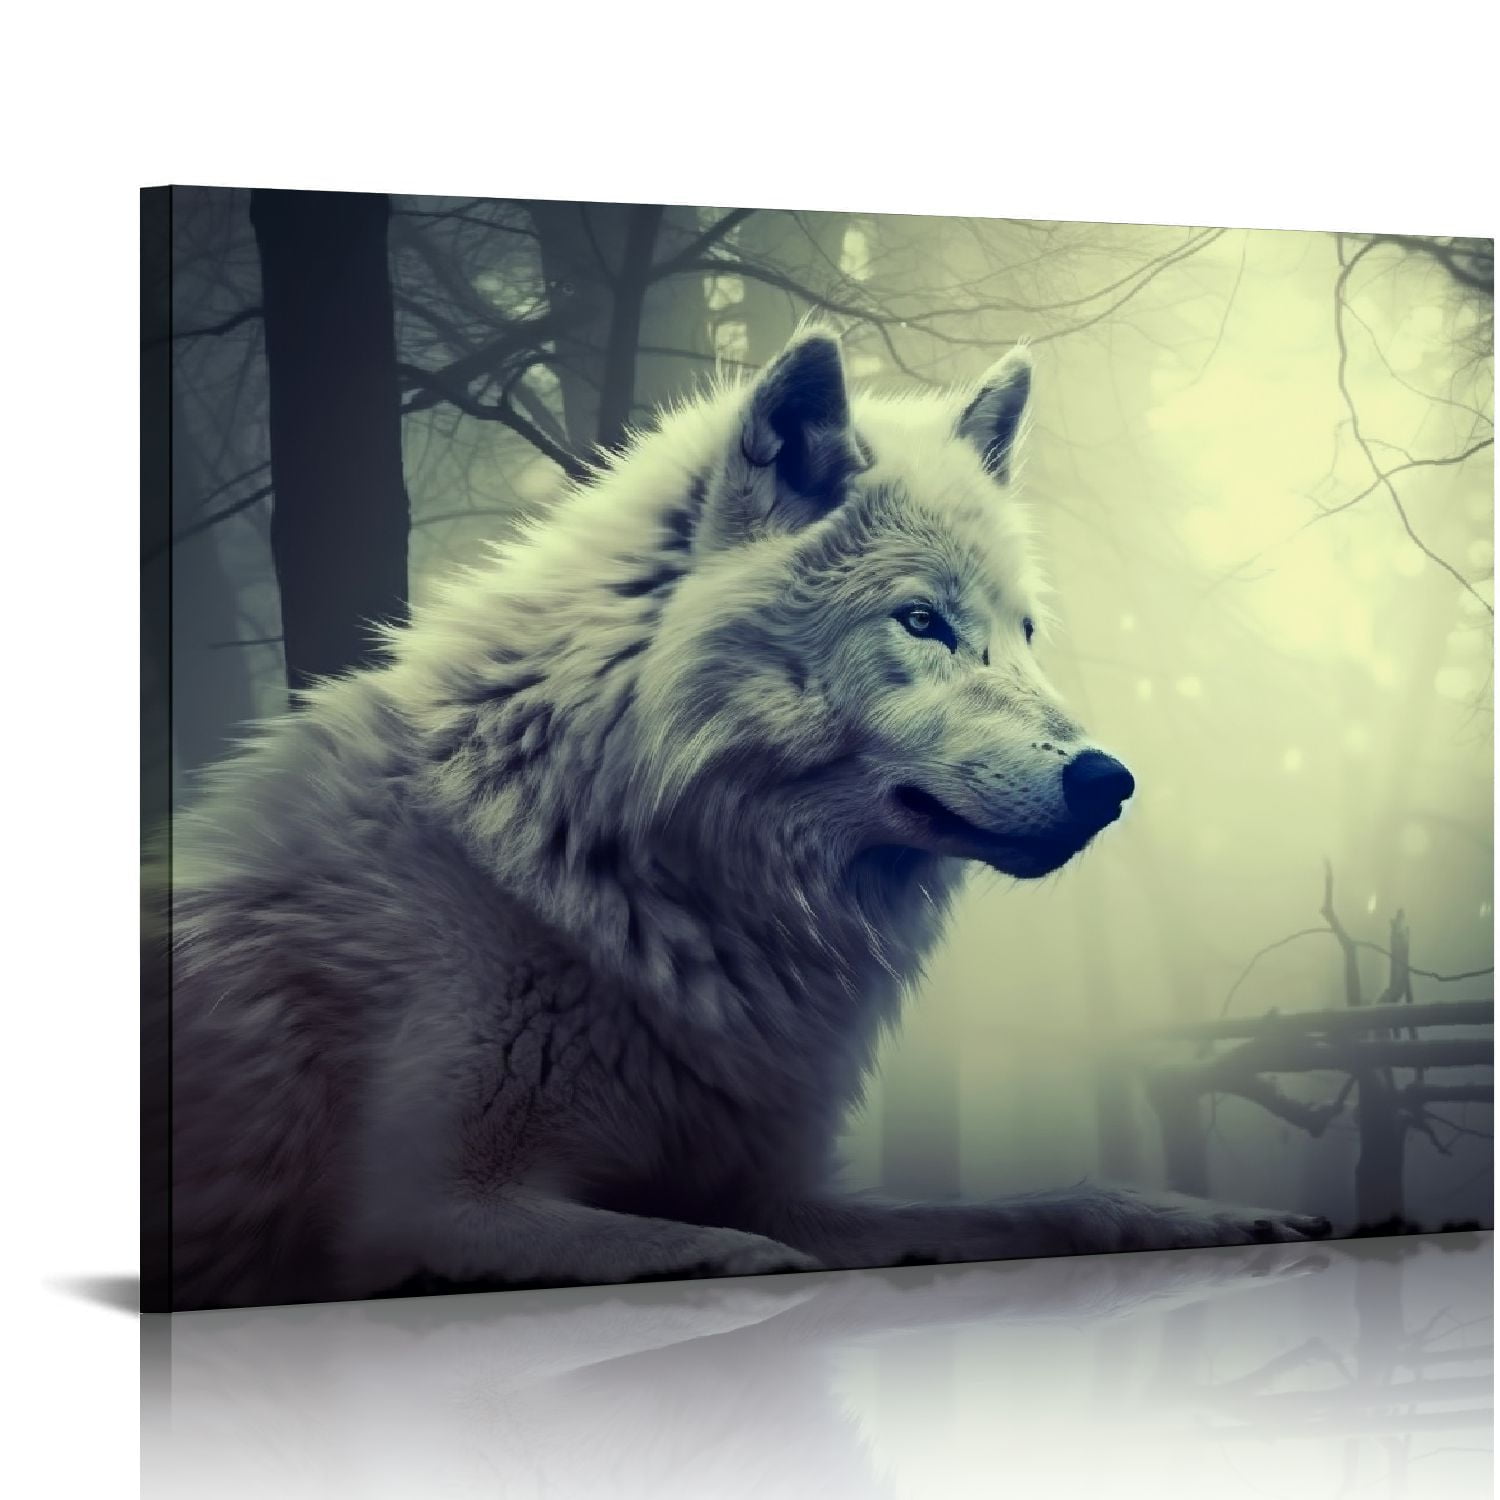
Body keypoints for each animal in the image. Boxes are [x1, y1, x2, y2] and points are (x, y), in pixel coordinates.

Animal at [162, 330, 1329, 1309]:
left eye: (1026, 632)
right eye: (920, 620)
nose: (1111, 781)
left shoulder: (769, 1182)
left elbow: (1042, 1204)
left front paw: (1203, 1218)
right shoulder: (429, 1209)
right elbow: (723, 1251)